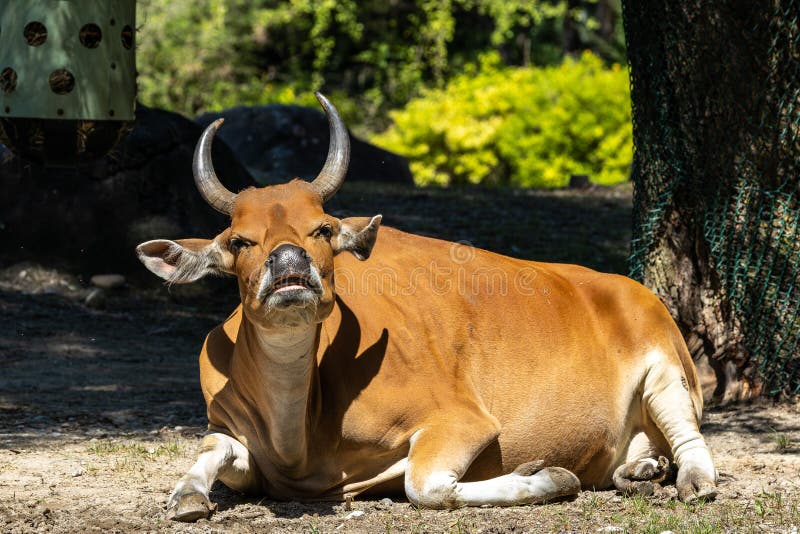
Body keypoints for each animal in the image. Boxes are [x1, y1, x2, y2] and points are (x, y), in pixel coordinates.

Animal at [136, 93, 717, 522]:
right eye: (240, 241)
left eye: (321, 229)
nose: (288, 263)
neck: (300, 432)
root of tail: (632, 289)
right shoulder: (229, 429)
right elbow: (211, 450)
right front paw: (186, 495)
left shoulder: (462, 422)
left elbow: (426, 485)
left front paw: (546, 474)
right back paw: (639, 473)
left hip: (670, 370)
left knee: (691, 441)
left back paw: (691, 480)